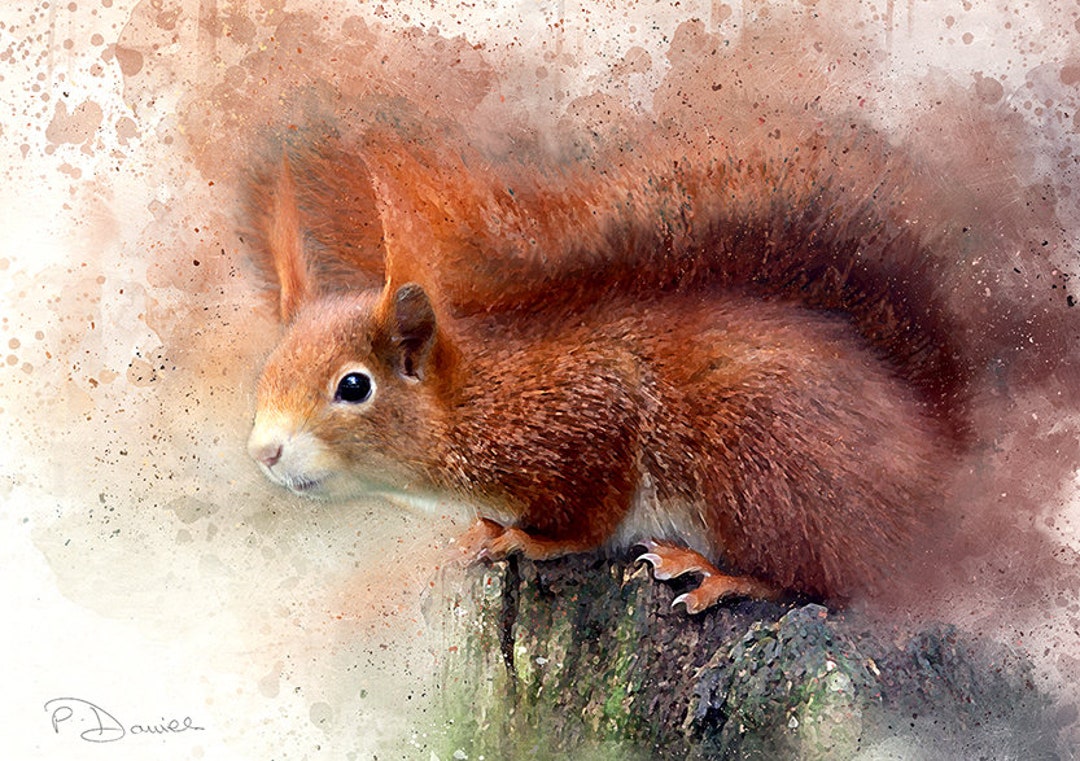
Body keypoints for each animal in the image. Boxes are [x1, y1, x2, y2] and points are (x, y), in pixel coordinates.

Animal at [244, 129, 972, 612]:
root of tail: (931, 461)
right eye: (268, 370)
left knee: (814, 577)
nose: (264, 452)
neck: (479, 399)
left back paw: (710, 572)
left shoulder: (591, 420)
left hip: (761, 474)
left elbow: (588, 521)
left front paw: (524, 540)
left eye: (354, 386)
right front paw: (480, 530)